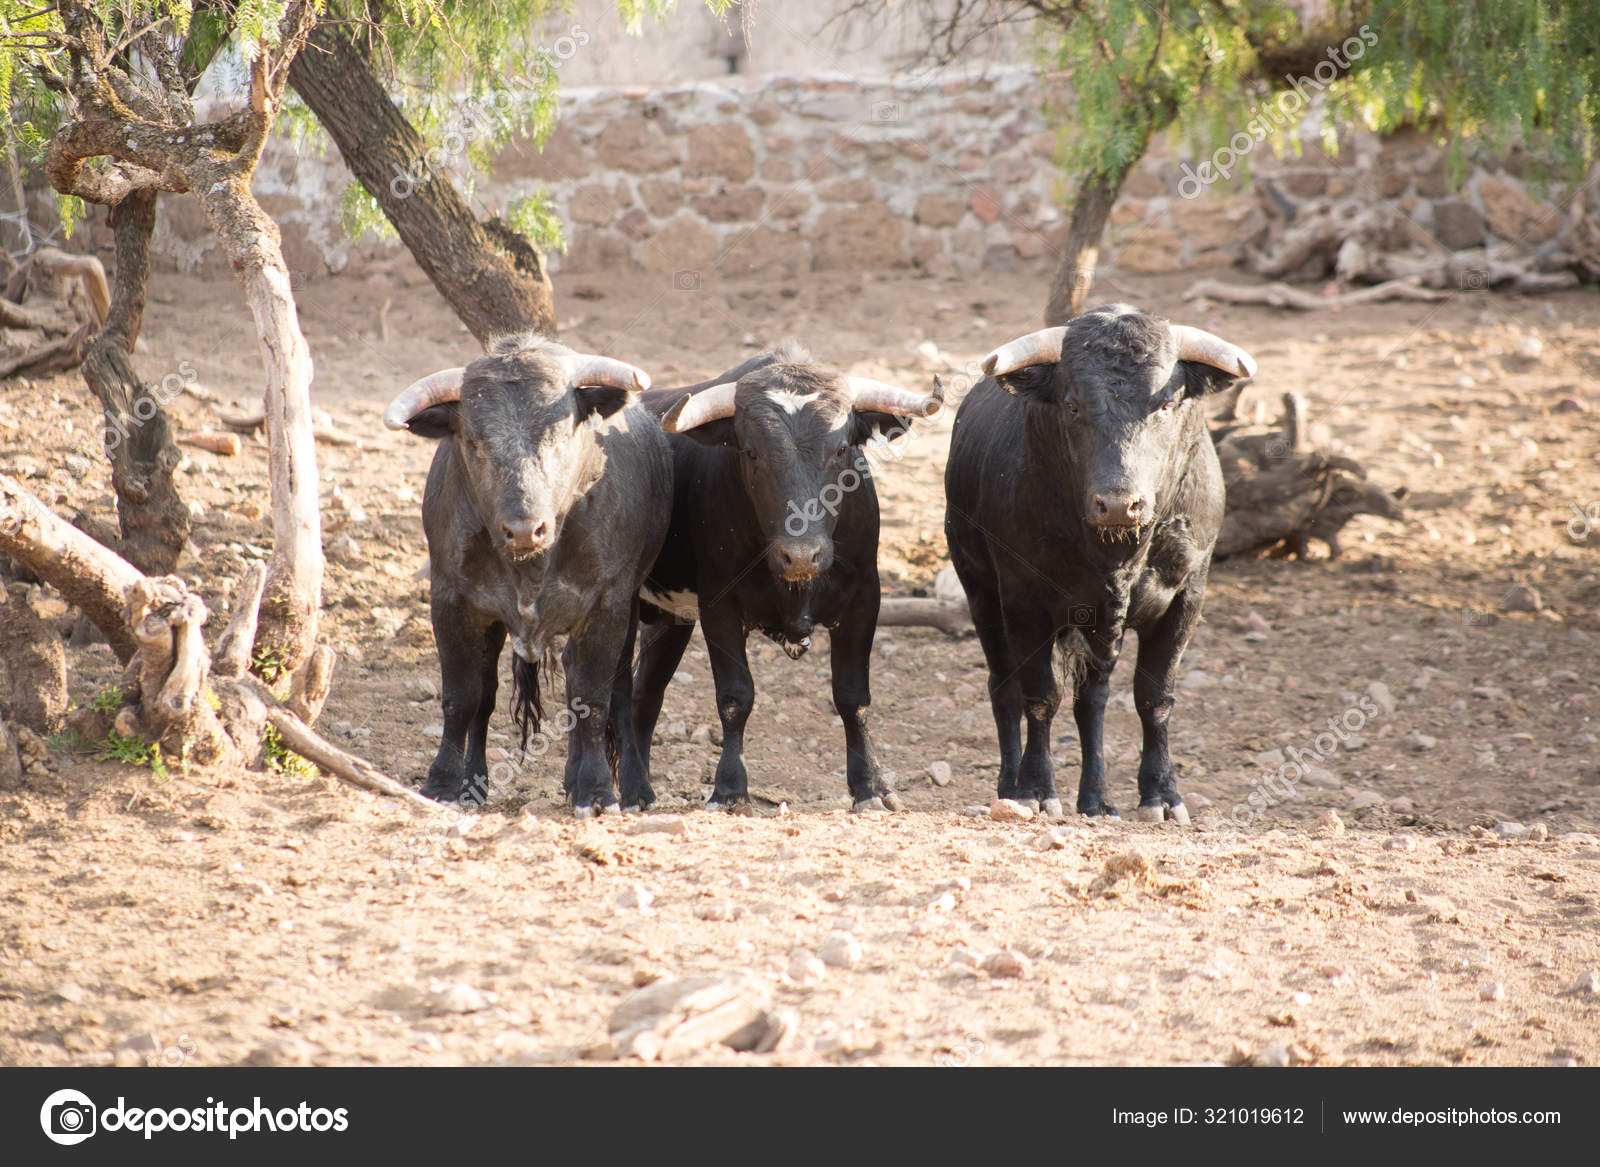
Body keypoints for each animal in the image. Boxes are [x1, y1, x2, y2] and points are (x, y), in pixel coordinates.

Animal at [383, 334, 673, 816]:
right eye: (476, 442)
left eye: (559, 435)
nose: (523, 529)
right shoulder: (452, 599)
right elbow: (462, 697)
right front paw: (444, 783)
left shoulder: (608, 603)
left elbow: (593, 698)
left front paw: (597, 792)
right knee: (486, 695)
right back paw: (478, 782)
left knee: (614, 692)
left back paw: (630, 788)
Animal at [629, 343, 943, 812]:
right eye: (751, 453)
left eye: (842, 449)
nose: (800, 555)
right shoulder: (718, 608)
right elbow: (736, 697)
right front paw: (729, 788)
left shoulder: (865, 601)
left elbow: (853, 698)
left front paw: (870, 786)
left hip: (668, 619)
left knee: (643, 696)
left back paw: (640, 790)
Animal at [943, 305, 1256, 822]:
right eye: (1072, 407)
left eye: (1165, 405)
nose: (1118, 504)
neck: (1117, 554)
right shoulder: (1022, 600)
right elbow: (1040, 696)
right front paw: (1036, 789)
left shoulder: (1186, 597)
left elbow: (1154, 698)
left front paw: (1162, 795)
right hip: (980, 591)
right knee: (1003, 688)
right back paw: (1010, 785)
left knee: (1091, 700)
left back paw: (1096, 800)